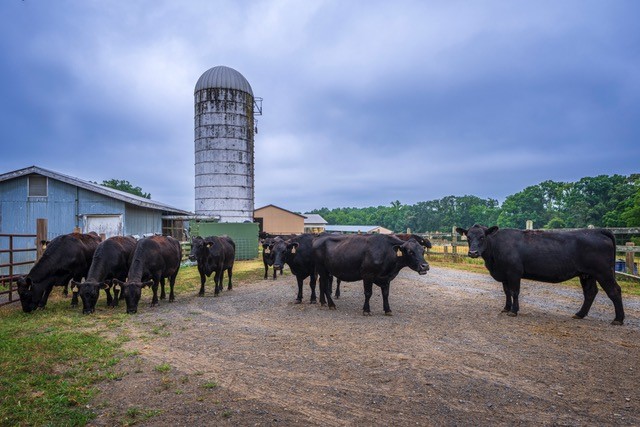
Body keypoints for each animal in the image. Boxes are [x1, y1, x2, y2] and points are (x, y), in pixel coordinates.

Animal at [455, 224, 625, 325]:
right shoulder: (504, 273)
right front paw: (506, 308)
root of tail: (597, 230)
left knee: (614, 291)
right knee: (590, 292)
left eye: (482, 236)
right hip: (586, 274)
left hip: (603, 272)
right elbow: (506, 292)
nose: (472, 252)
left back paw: (618, 319)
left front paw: (513, 311)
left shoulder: (513, 272)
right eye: (468, 237)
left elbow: (514, 292)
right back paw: (579, 314)